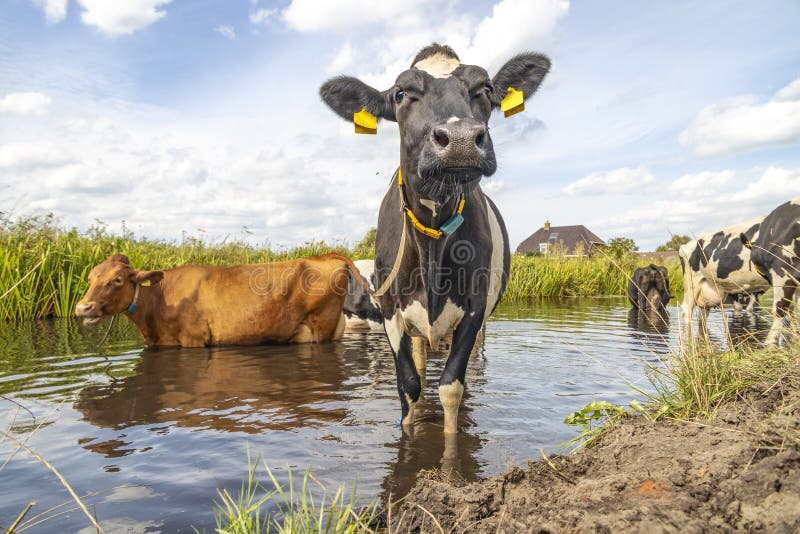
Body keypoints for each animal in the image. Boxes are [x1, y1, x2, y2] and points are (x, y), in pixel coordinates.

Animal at [75, 253, 368, 347]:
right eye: (90, 277)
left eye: (117, 280)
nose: (82, 307)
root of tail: (323, 256)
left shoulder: (193, 339)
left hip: (322, 326)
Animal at [320, 43, 550, 434]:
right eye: (400, 93)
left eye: (486, 88)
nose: (460, 140)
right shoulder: (390, 311)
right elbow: (409, 386)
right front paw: (409, 432)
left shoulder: (474, 308)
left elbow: (452, 388)